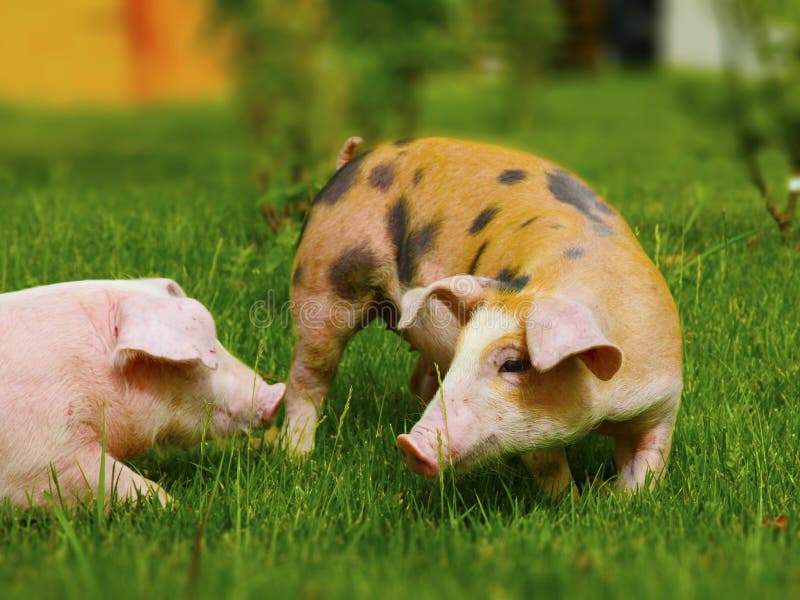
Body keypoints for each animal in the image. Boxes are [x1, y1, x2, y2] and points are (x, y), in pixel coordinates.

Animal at [286, 137, 682, 496]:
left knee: (418, 381)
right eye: (465, 352)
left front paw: (620, 498)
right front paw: (570, 501)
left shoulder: (664, 401)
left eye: (514, 364)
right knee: (308, 378)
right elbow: (548, 467)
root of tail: (354, 160)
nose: (409, 446)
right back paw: (297, 457)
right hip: (323, 278)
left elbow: (650, 463)